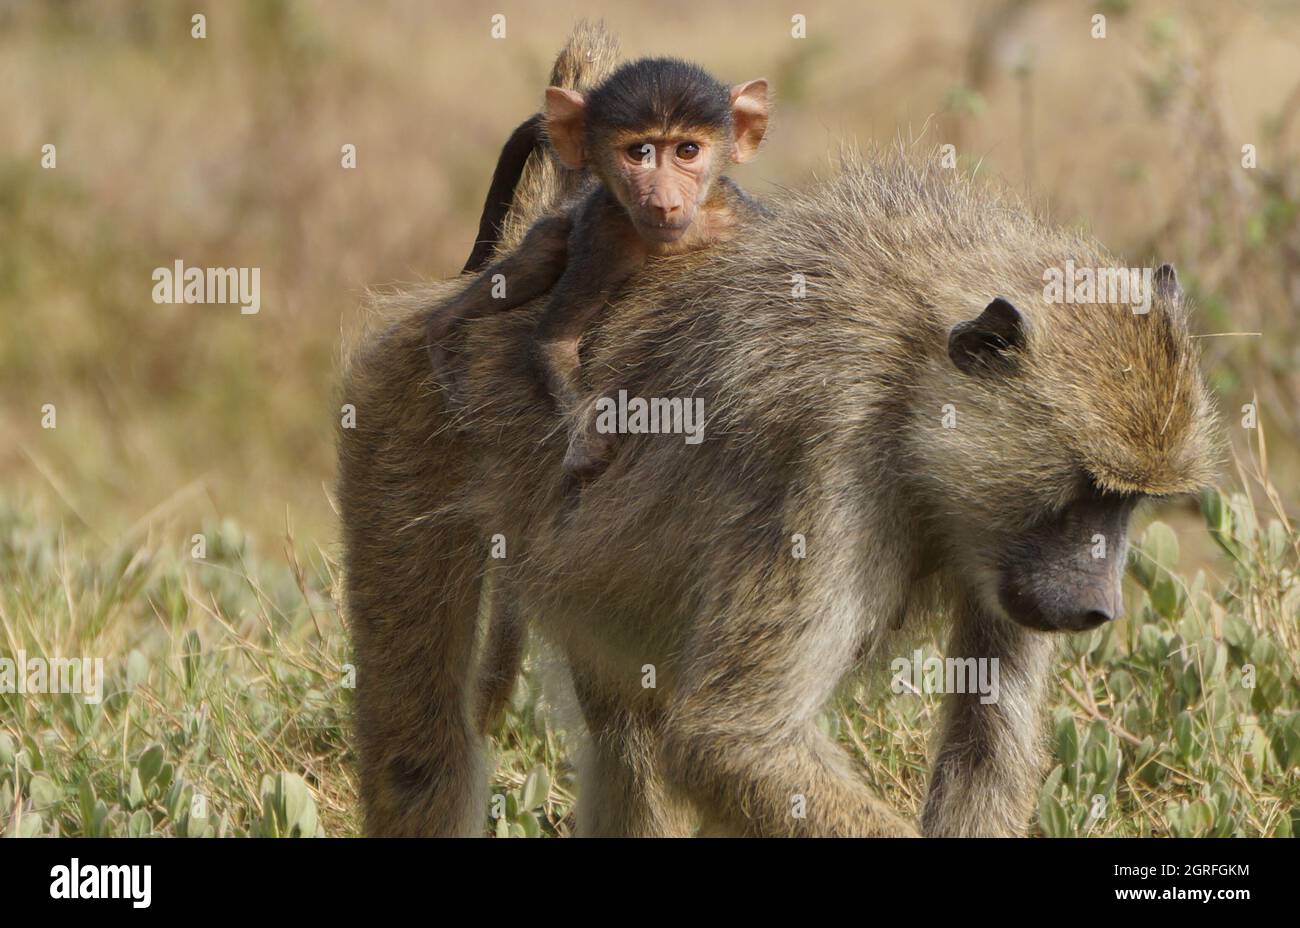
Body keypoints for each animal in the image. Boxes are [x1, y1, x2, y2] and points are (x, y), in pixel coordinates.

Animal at [427, 57, 770, 477]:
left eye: (687, 150)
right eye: (639, 153)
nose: (665, 202)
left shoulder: (740, 221)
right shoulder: (600, 234)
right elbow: (554, 341)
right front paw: (589, 438)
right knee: (539, 257)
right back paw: (442, 325)